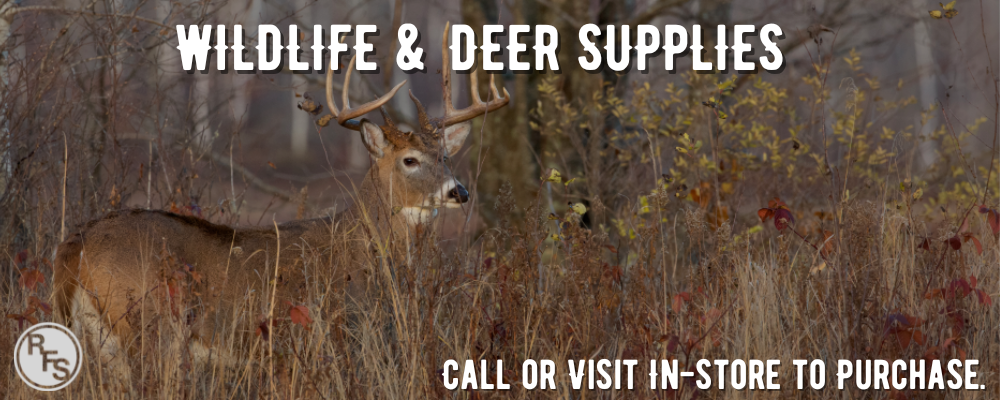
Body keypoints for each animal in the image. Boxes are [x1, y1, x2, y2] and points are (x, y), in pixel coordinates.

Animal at [51, 24, 509, 381]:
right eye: (409, 160)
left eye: (445, 156)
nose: (458, 191)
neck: (364, 250)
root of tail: (74, 246)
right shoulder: (329, 332)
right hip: (142, 322)